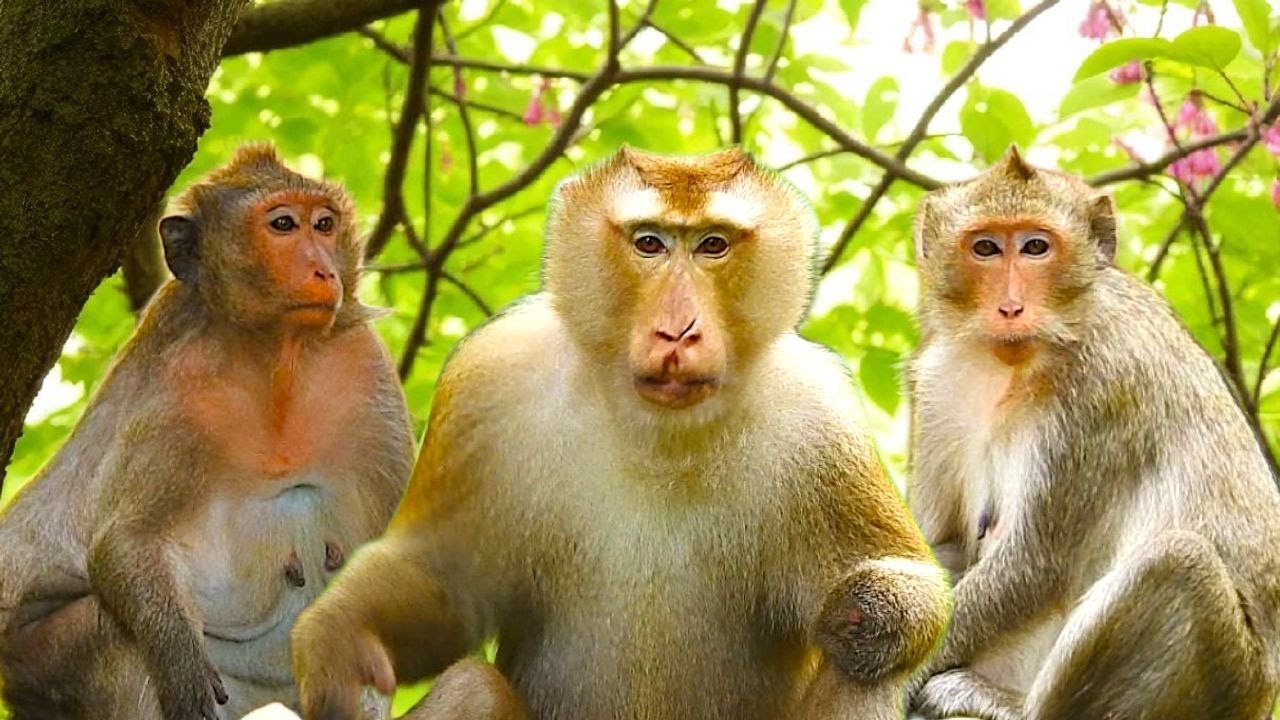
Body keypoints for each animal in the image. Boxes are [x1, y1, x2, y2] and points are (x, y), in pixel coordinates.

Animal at [0, 144, 414, 720]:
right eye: (283, 225)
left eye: (325, 224)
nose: (324, 271)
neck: (276, 356)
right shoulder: (182, 387)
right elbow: (125, 543)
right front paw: (182, 669)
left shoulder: (364, 369)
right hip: (39, 661)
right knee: (111, 636)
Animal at [289, 146, 952, 720]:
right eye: (649, 243)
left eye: (713, 245)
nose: (678, 330)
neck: (656, 429)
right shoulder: (488, 390)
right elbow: (444, 583)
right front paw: (336, 636)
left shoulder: (821, 422)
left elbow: (901, 591)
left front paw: (875, 609)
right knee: (471, 688)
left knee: (861, 669)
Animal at [905, 146, 1280, 720]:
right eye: (986, 248)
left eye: (1036, 247)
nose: (1011, 307)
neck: (1017, 365)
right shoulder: (939, 384)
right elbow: (936, 545)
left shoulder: (1104, 383)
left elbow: (1033, 563)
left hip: (1223, 681)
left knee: (1180, 564)